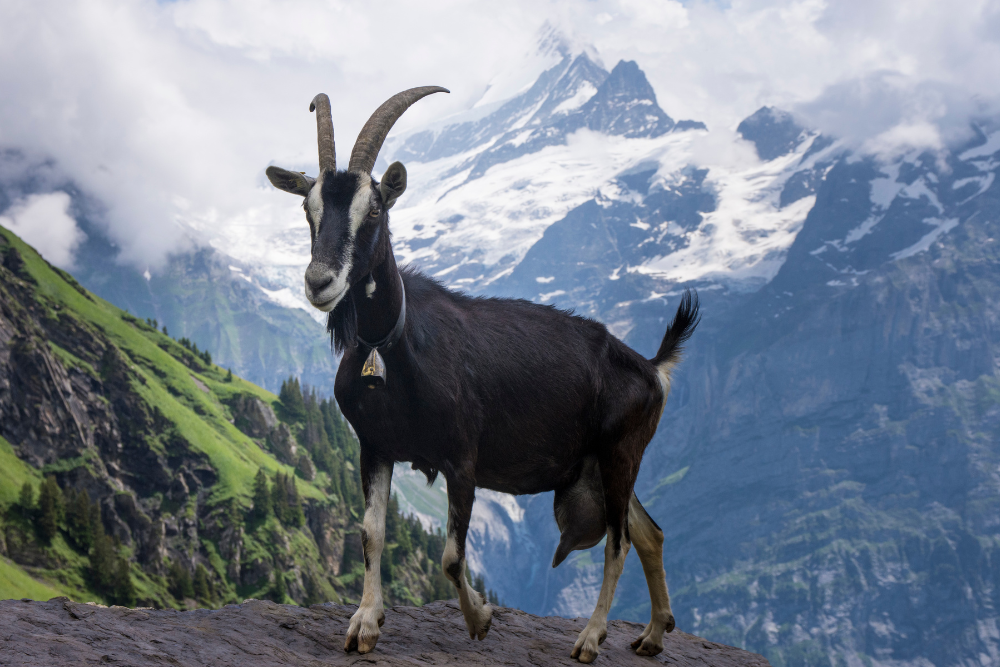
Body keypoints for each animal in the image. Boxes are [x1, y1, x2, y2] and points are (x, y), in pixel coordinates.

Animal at [265, 88, 700, 663]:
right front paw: (364, 623)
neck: (395, 346)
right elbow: (371, 533)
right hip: (601, 462)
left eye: (375, 206)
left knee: (619, 540)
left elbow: (451, 556)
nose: (319, 282)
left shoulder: (462, 456)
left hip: (621, 452)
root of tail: (651, 367)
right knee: (649, 532)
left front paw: (481, 618)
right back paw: (651, 635)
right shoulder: (374, 446)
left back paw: (590, 638)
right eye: (307, 207)